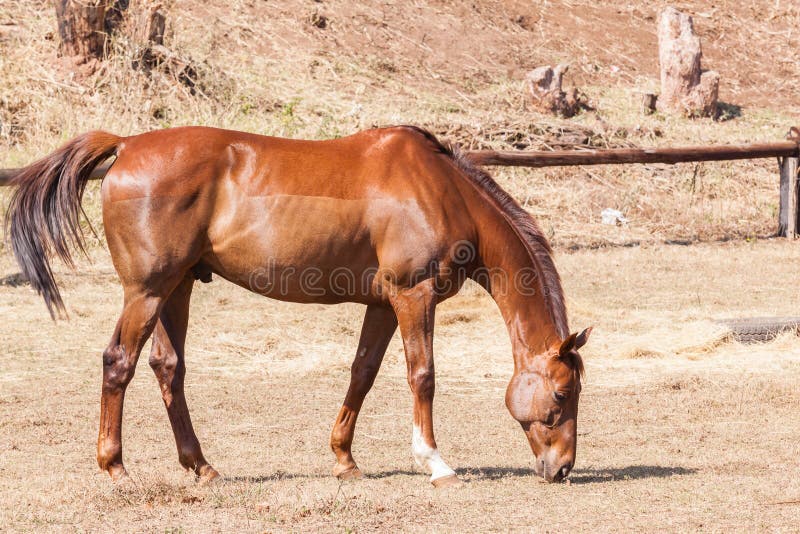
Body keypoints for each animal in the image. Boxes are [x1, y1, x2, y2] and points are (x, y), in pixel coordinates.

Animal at [5, 125, 591, 487]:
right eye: (563, 394)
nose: (562, 467)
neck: (442, 190)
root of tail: (126, 145)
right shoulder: (413, 295)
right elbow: (422, 375)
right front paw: (435, 462)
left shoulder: (383, 304)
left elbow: (363, 373)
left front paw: (345, 459)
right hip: (146, 291)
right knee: (118, 363)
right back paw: (116, 467)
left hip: (176, 288)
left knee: (167, 368)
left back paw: (202, 466)